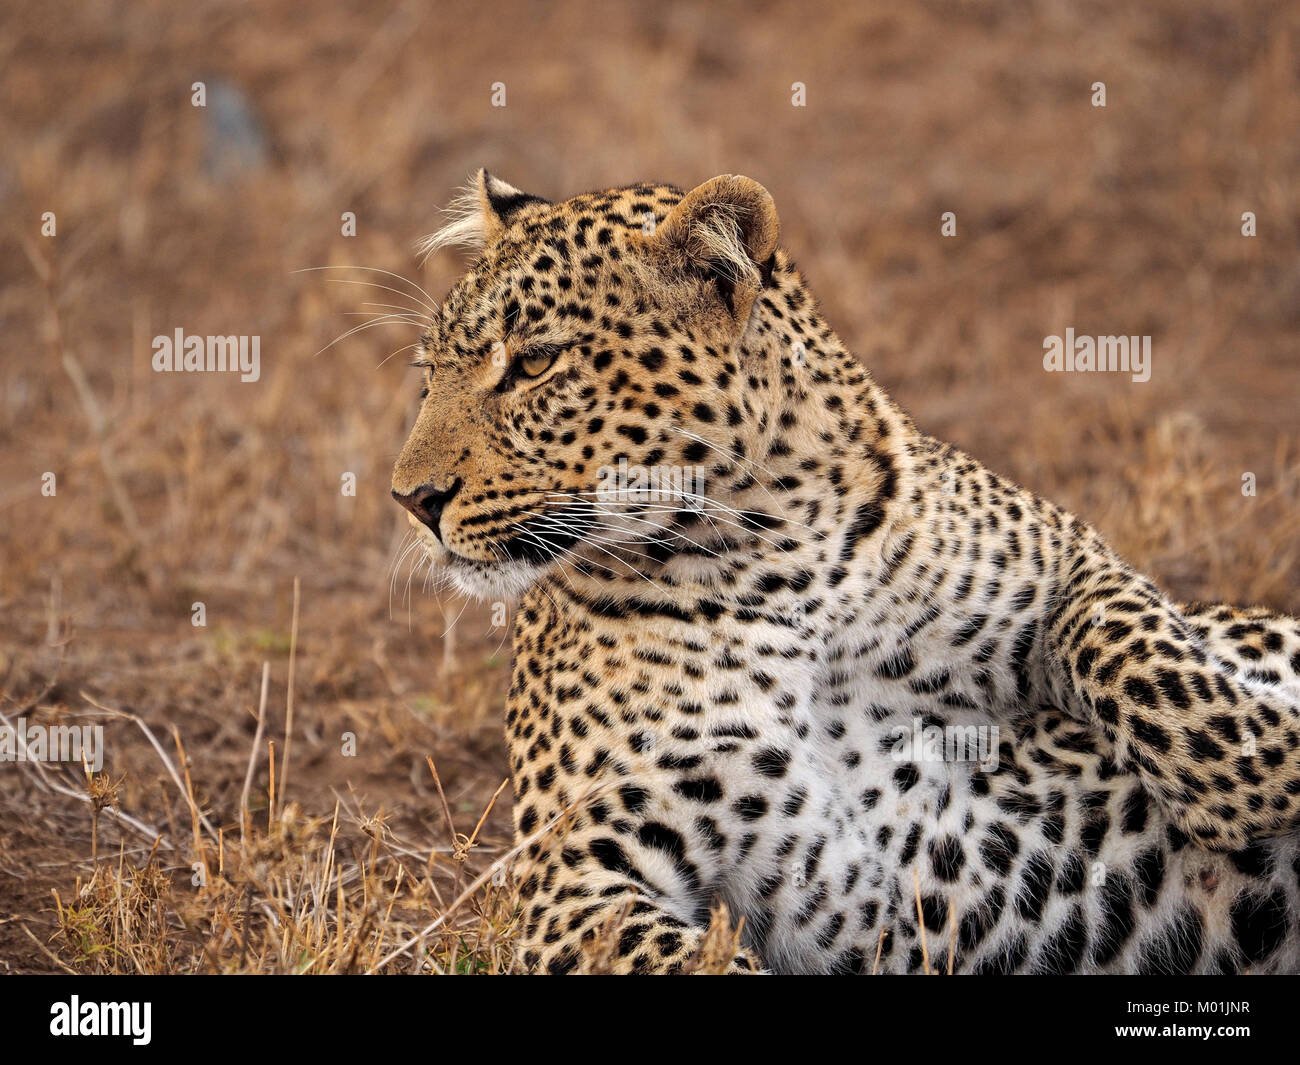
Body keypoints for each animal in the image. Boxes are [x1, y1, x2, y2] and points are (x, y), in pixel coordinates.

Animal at [389, 170, 1300, 974]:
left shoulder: (1063, 552)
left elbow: (1138, 651)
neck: (768, 557)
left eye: (535, 362)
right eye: (428, 374)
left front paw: (1268, 764)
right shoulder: (579, 873)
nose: (411, 498)